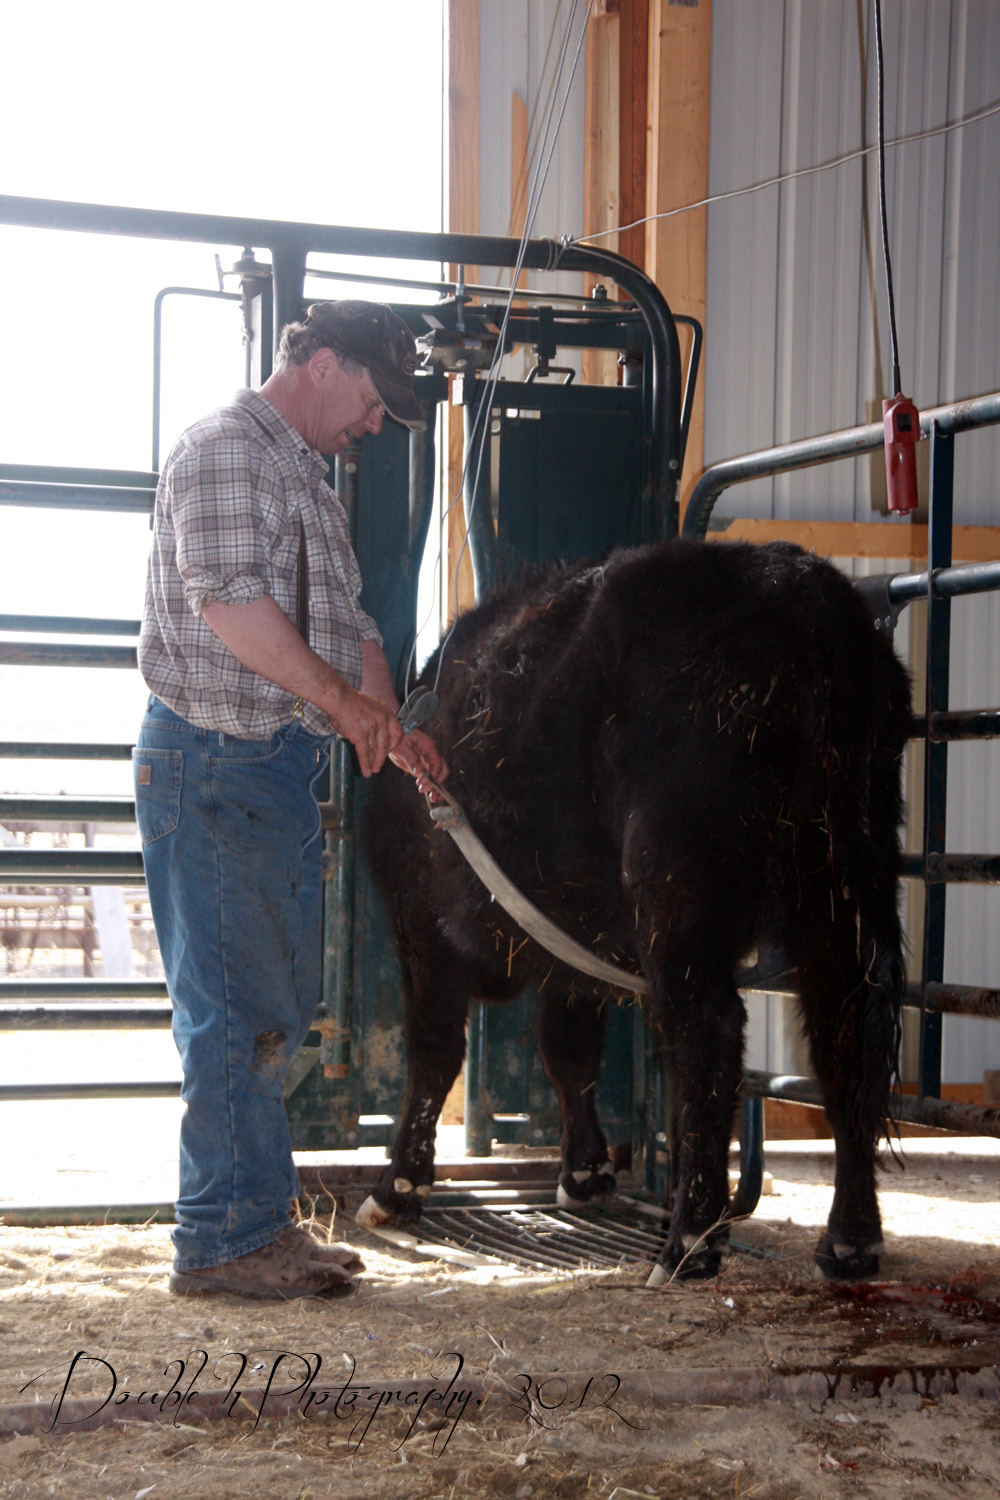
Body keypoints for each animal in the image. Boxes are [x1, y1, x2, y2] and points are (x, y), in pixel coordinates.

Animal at [356, 538, 911, 1283]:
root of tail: (796, 585)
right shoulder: (571, 944)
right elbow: (569, 1052)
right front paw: (587, 1173)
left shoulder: (421, 926)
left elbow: (433, 1054)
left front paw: (398, 1188)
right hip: (843, 894)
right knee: (845, 1043)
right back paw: (850, 1239)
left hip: (677, 888)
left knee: (709, 1035)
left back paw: (690, 1241)